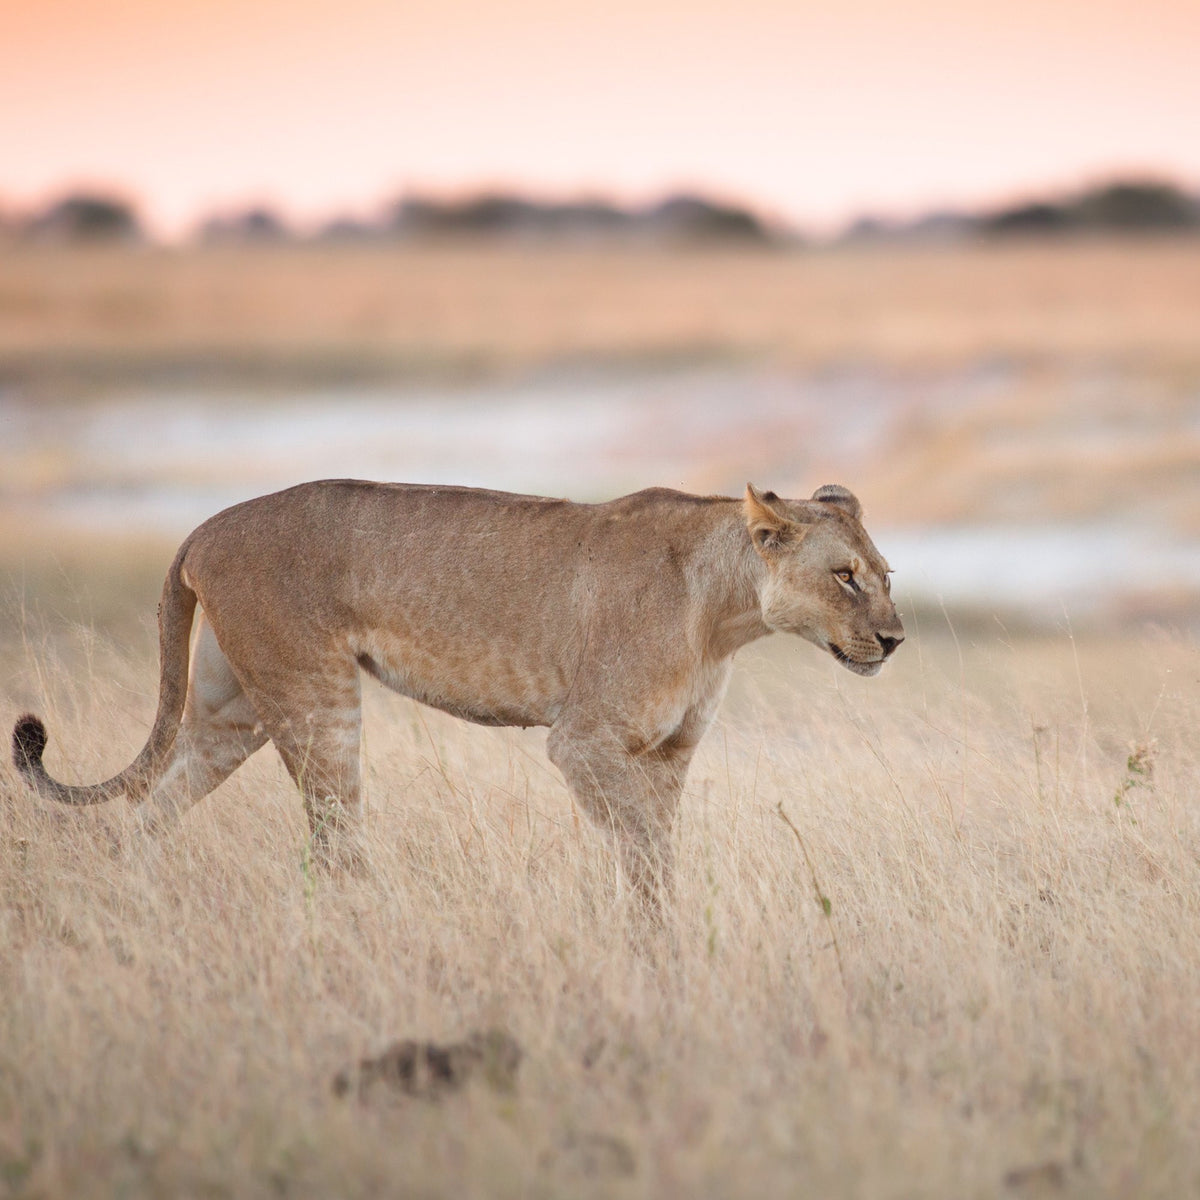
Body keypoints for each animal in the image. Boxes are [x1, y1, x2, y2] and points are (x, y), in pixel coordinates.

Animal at [12, 480, 902, 901]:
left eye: (885, 574)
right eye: (845, 576)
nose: (895, 640)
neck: (725, 613)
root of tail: (202, 527)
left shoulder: (667, 755)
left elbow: (656, 853)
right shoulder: (583, 741)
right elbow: (642, 851)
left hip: (232, 710)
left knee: (147, 814)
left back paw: (142, 903)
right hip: (317, 697)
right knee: (336, 846)